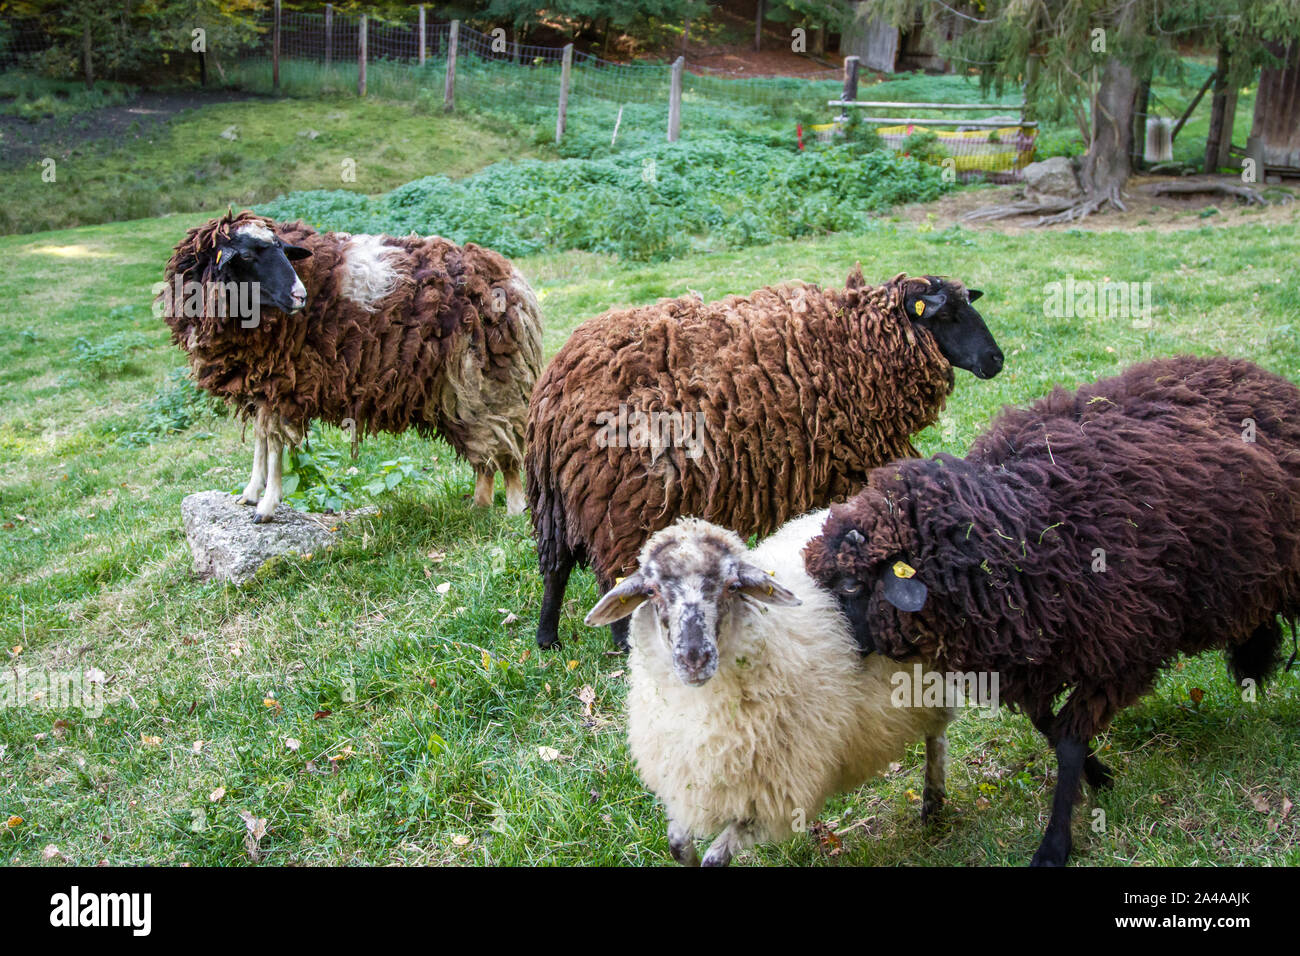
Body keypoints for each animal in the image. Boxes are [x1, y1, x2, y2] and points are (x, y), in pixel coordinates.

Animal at [160, 209, 543, 522]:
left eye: (283, 251)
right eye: (248, 254)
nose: (299, 295)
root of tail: (509, 276)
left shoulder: (281, 381)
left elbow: (274, 445)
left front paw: (267, 506)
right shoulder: (261, 380)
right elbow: (261, 440)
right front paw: (250, 494)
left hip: (488, 377)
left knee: (503, 442)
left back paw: (512, 507)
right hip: (455, 390)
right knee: (481, 447)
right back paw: (479, 504)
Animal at [530, 269, 1004, 650]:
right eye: (946, 315)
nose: (996, 360)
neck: (853, 345)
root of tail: (560, 385)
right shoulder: (853, 463)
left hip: (559, 499)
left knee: (556, 568)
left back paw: (547, 639)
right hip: (621, 499)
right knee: (614, 574)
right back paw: (622, 645)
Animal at [585, 510, 953, 867]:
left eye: (733, 586)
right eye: (651, 591)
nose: (694, 658)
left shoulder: (773, 800)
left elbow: (714, 860)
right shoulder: (685, 785)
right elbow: (677, 846)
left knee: (936, 736)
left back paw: (933, 804)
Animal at [803, 354, 1300, 866]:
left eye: (850, 585)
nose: (832, 655)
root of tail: (1254, 373)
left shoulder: (1117, 654)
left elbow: (1066, 741)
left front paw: (1055, 842)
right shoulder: (1029, 665)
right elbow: (1049, 727)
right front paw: (1098, 776)